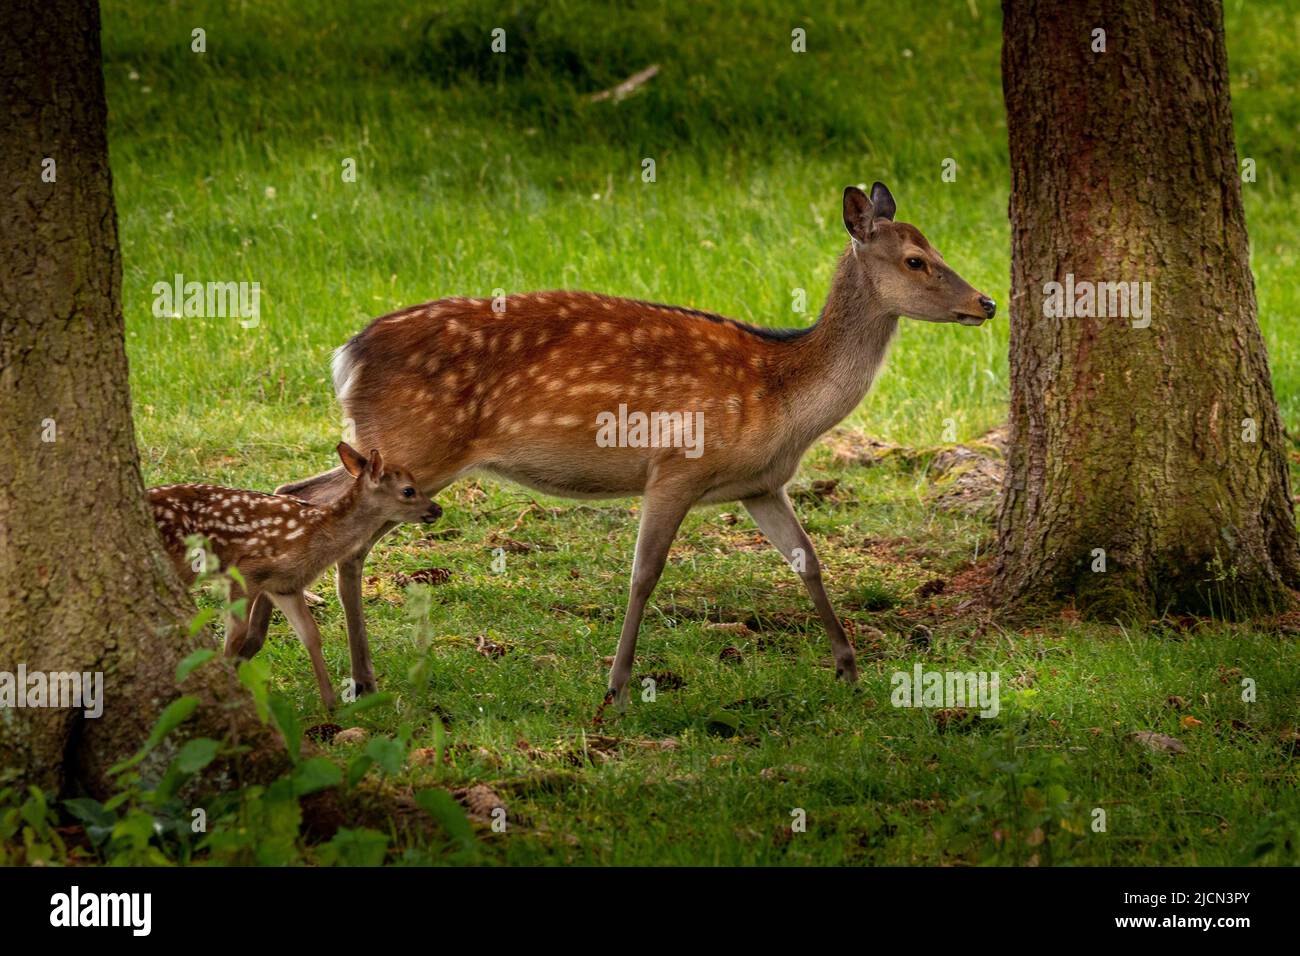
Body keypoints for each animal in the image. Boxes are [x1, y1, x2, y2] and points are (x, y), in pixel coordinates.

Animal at [148, 442, 441, 708]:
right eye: (408, 490)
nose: (437, 509)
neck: (315, 535)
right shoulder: (247, 571)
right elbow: (236, 634)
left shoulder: (286, 585)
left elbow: (311, 635)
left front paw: (331, 704)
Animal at [244, 182, 995, 712]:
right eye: (916, 260)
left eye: (935, 249)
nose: (986, 303)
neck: (785, 396)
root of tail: (346, 355)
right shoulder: (677, 466)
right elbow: (644, 573)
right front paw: (616, 686)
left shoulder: (759, 483)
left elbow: (807, 560)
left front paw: (847, 667)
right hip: (415, 450)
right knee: (334, 519)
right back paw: (293, 654)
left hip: (389, 449)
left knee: (303, 498)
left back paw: (329, 667)